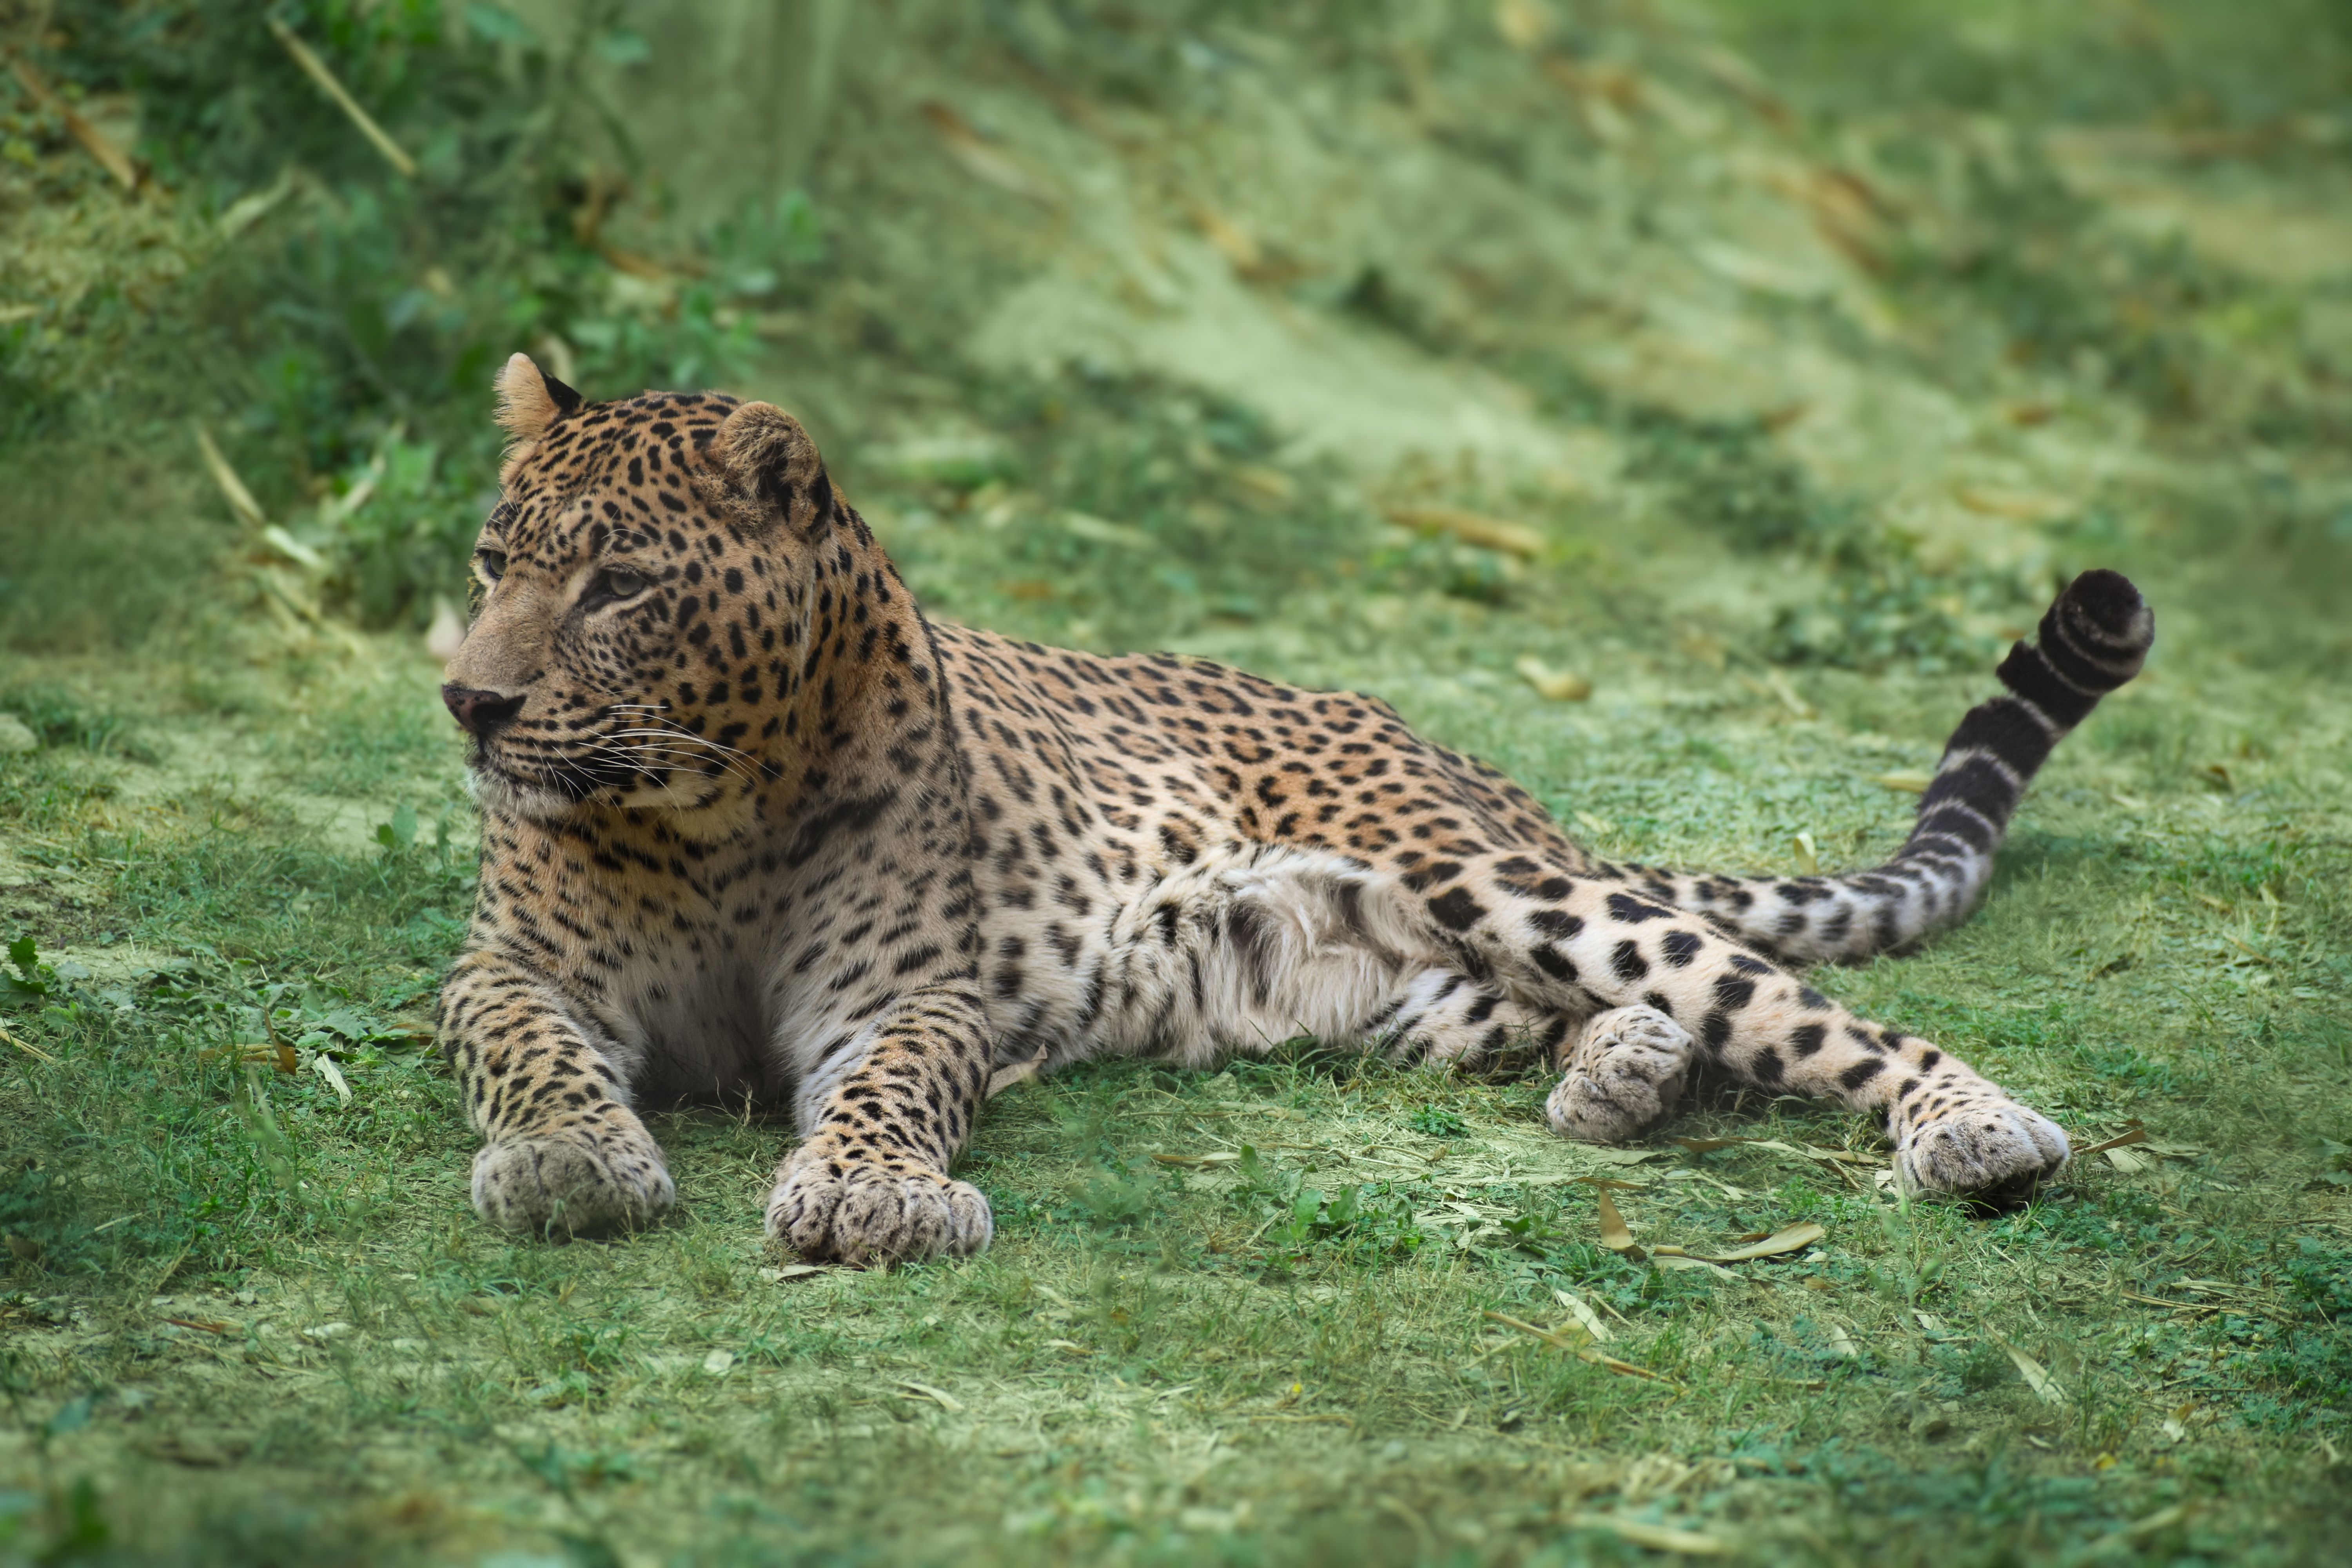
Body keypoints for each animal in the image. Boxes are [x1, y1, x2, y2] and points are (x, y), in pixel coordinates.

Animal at [435, 353, 2155, 1263]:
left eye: (617, 587)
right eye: (493, 560)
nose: (470, 700)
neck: (701, 817)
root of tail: (1453, 755)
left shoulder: (907, 999)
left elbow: (891, 1089)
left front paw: (871, 1191)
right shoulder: (506, 970)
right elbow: (533, 1055)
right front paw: (572, 1165)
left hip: (1492, 880)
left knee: (1783, 1006)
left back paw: (1972, 1126)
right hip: (1393, 992)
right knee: (1617, 1017)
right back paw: (1624, 1078)